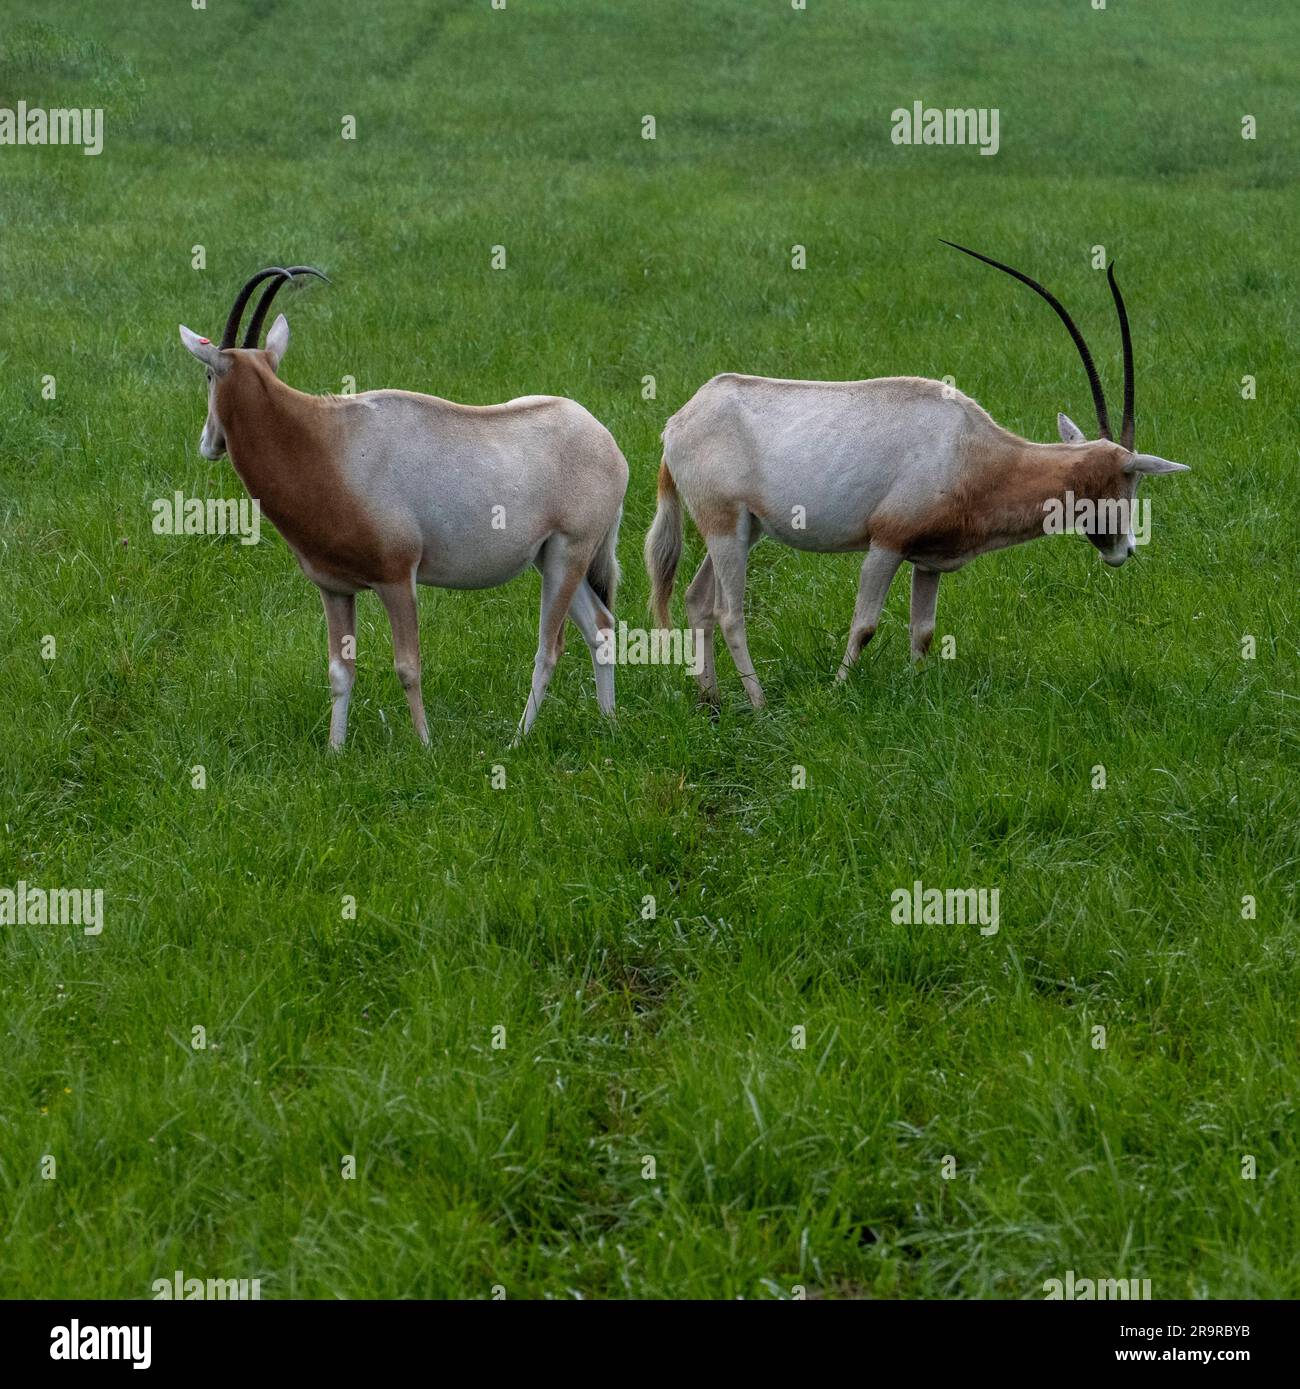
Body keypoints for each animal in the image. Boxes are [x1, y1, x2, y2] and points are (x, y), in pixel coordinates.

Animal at [180, 267, 628, 746]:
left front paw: (426, 745)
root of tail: (607, 444)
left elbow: (408, 667)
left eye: (208, 377)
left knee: (550, 647)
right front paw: (335, 750)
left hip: (568, 553)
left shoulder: (397, 579)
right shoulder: (334, 589)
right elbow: (340, 673)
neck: (324, 440)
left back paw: (519, 739)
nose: (207, 443)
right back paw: (608, 722)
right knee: (600, 627)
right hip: (553, 560)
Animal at [644, 242, 1190, 708]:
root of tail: (679, 421)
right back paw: (758, 706)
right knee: (729, 612)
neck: (973, 451)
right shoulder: (885, 545)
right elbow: (864, 625)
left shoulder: (927, 561)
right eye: (1132, 480)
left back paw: (711, 702)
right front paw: (837, 692)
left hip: (743, 530)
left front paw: (916, 689)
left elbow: (922, 631)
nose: (1126, 551)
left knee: (697, 601)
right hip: (724, 526)